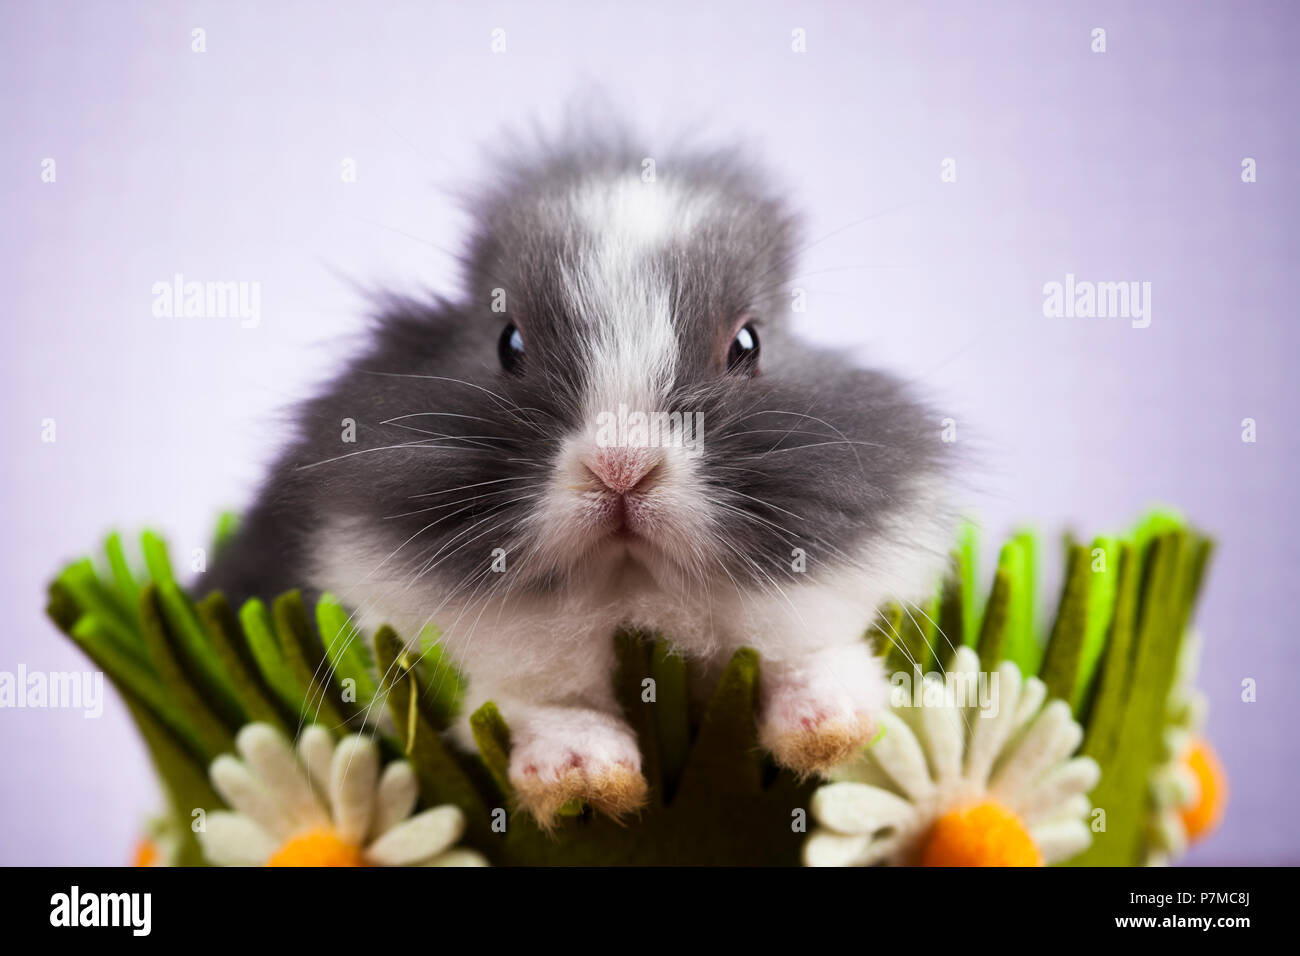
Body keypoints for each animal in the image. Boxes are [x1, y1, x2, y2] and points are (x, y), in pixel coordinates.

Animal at [205, 130, 953, 827]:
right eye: (508, 342)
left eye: (749, 343)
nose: (620, 468)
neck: (630, 586)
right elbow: (540, 704)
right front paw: (586, 778)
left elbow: (810, 657)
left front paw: (833, 731)